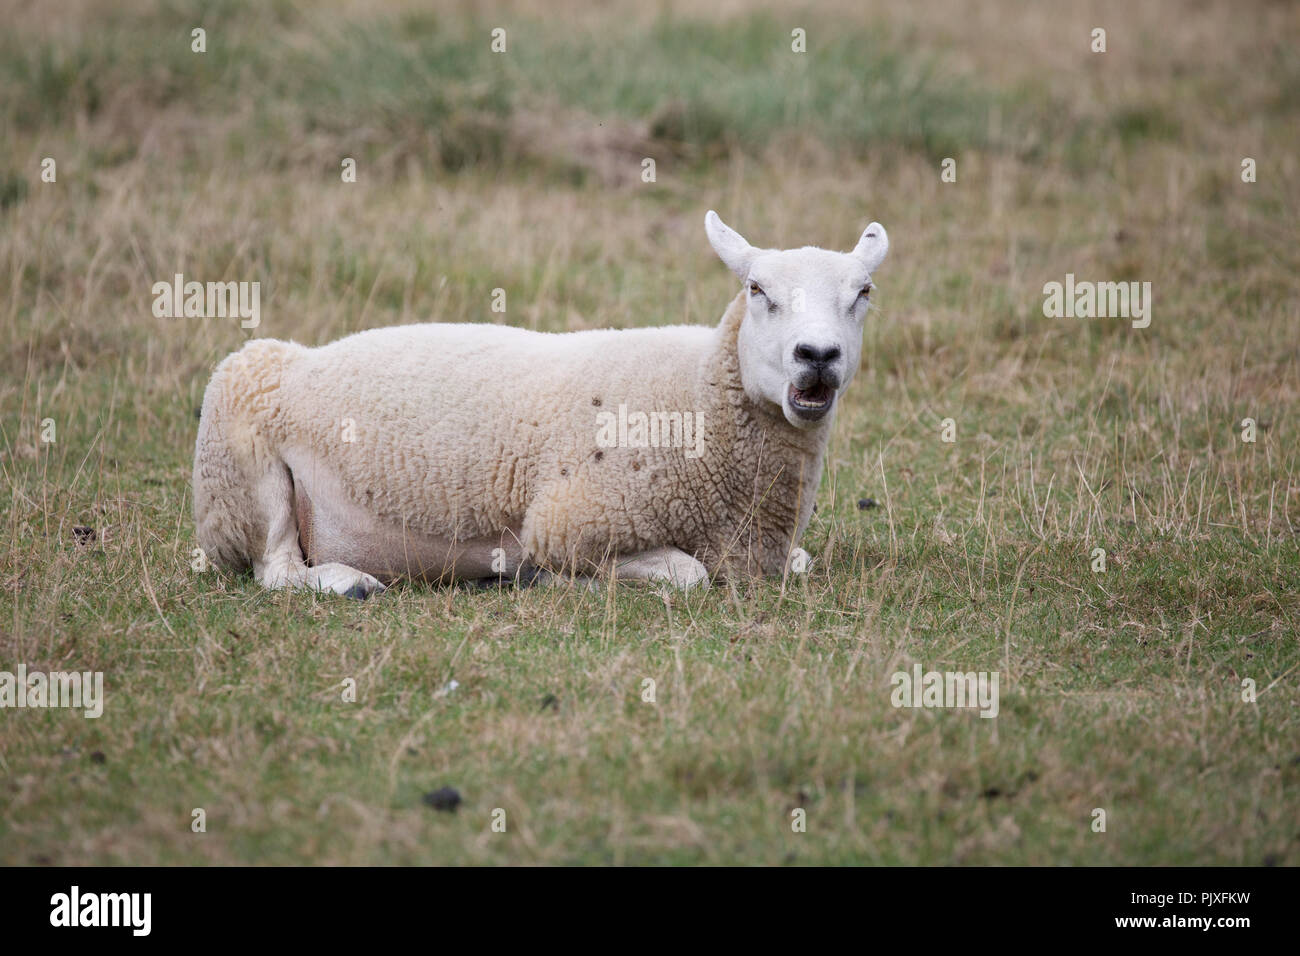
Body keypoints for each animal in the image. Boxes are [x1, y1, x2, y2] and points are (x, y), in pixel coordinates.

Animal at [192, 211, 889, 597]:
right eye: (756, 290)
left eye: (863, 293)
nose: (817, 355)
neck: (694, 395)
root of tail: (293, 357)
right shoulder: (568, 522)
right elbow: (687, 575)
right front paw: (548, 579)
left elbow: (801, 562)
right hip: (240, 473)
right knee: (274, 568)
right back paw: (350, 584)